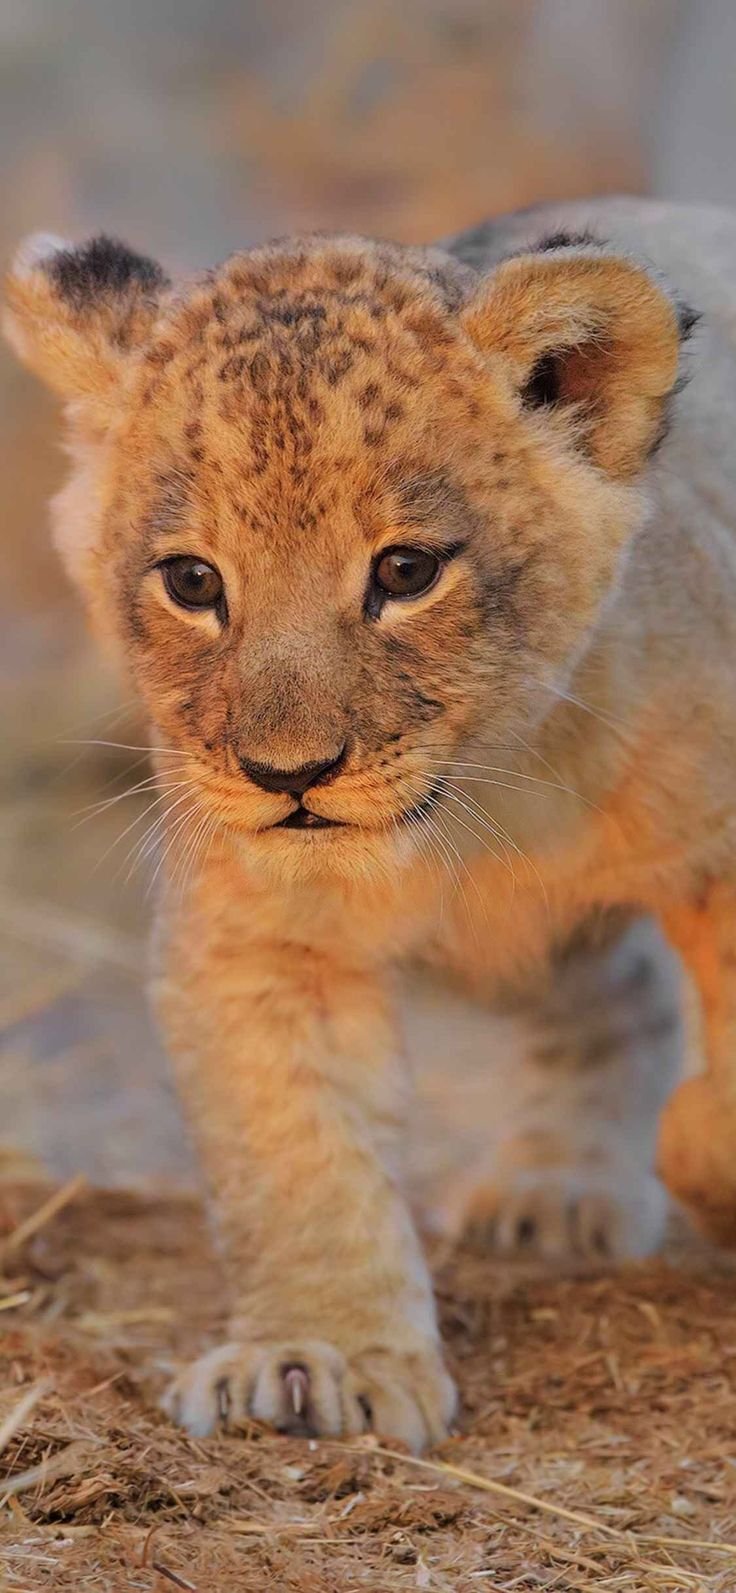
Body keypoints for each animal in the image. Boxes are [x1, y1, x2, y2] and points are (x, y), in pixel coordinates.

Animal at [5, 195, 736, 1452]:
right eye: (191, 582)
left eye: (404, 571)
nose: (286, 774)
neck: (486, 804)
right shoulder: (258, 936)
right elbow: (297, 1151)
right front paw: (320, 1356)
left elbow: (720, 1105)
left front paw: (701, 1157)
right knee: (615, 994)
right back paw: (558, 1188)